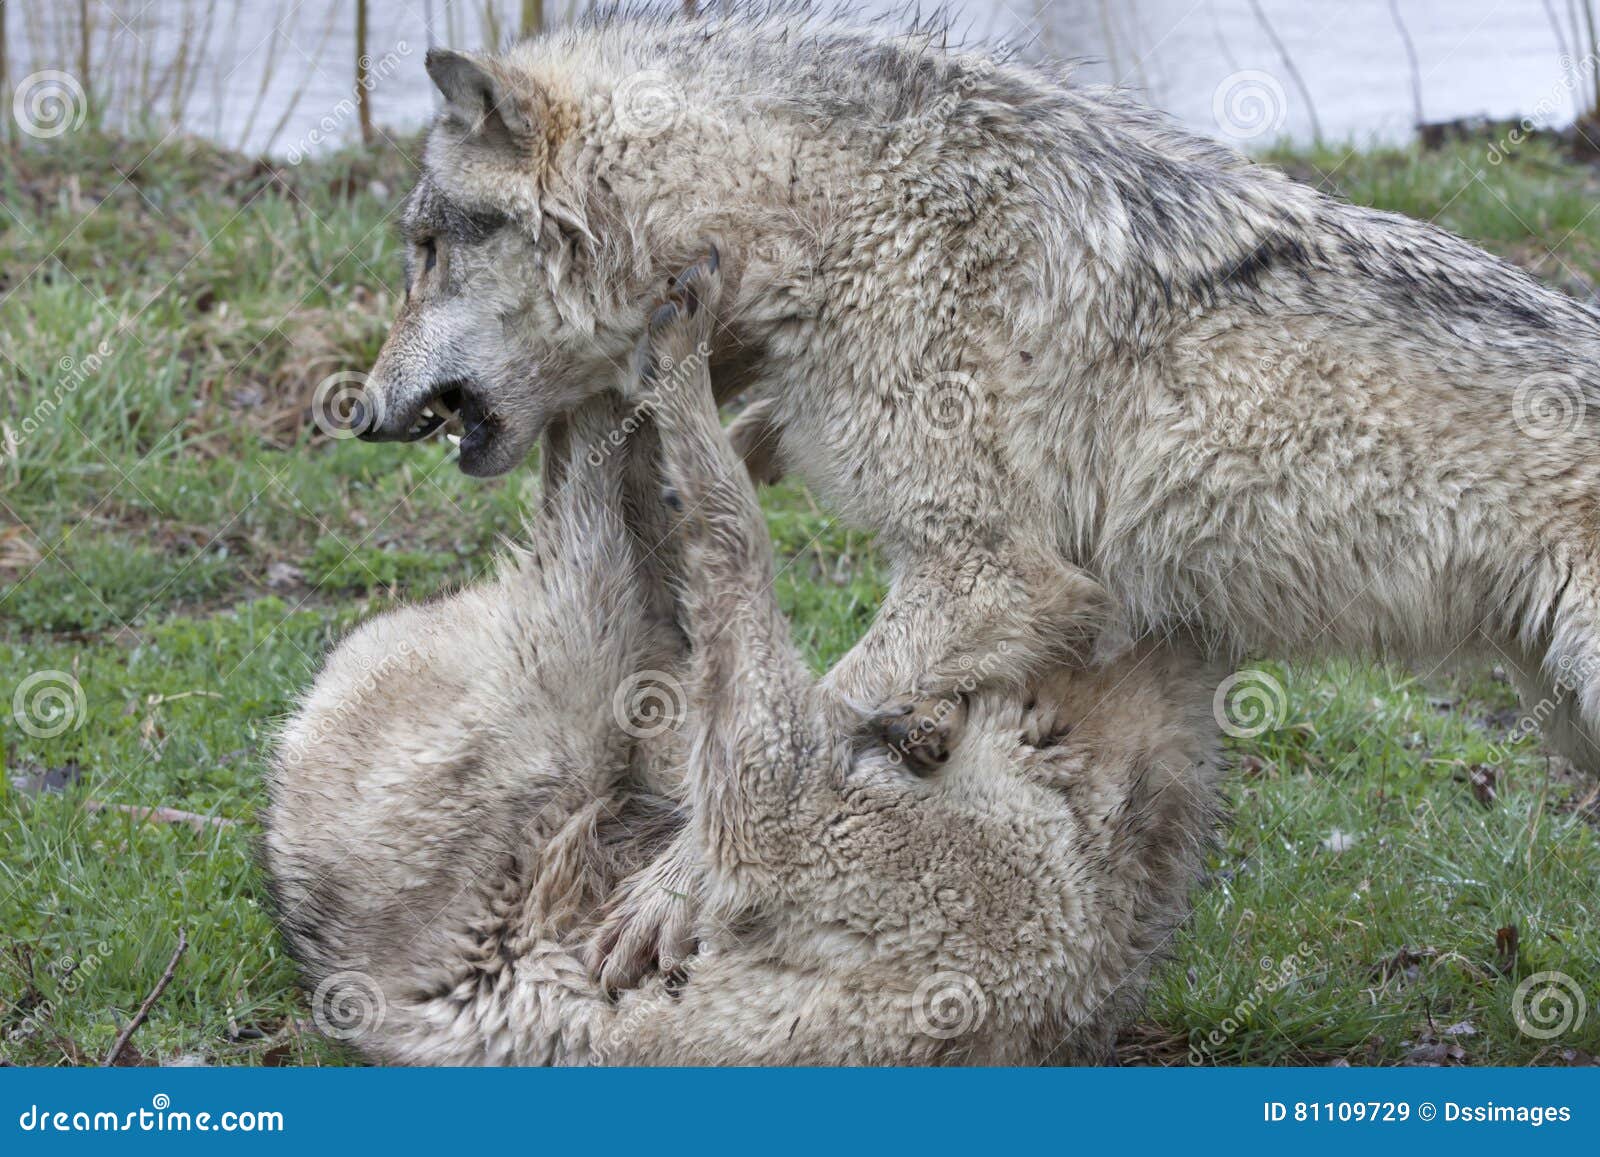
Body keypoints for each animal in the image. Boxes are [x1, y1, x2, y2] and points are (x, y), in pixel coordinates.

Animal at [264, 265, 1225, 1063]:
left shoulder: (985, 877)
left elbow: (769, 779)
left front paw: (694, 422)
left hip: (473, 774)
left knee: (597, 579)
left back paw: (629, 404)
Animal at [351, 8, 1600, 972]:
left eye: (425, 248)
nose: (356, 414)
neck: (818, 224)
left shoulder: (998, 573)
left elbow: (802, 722)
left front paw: (673, 889)